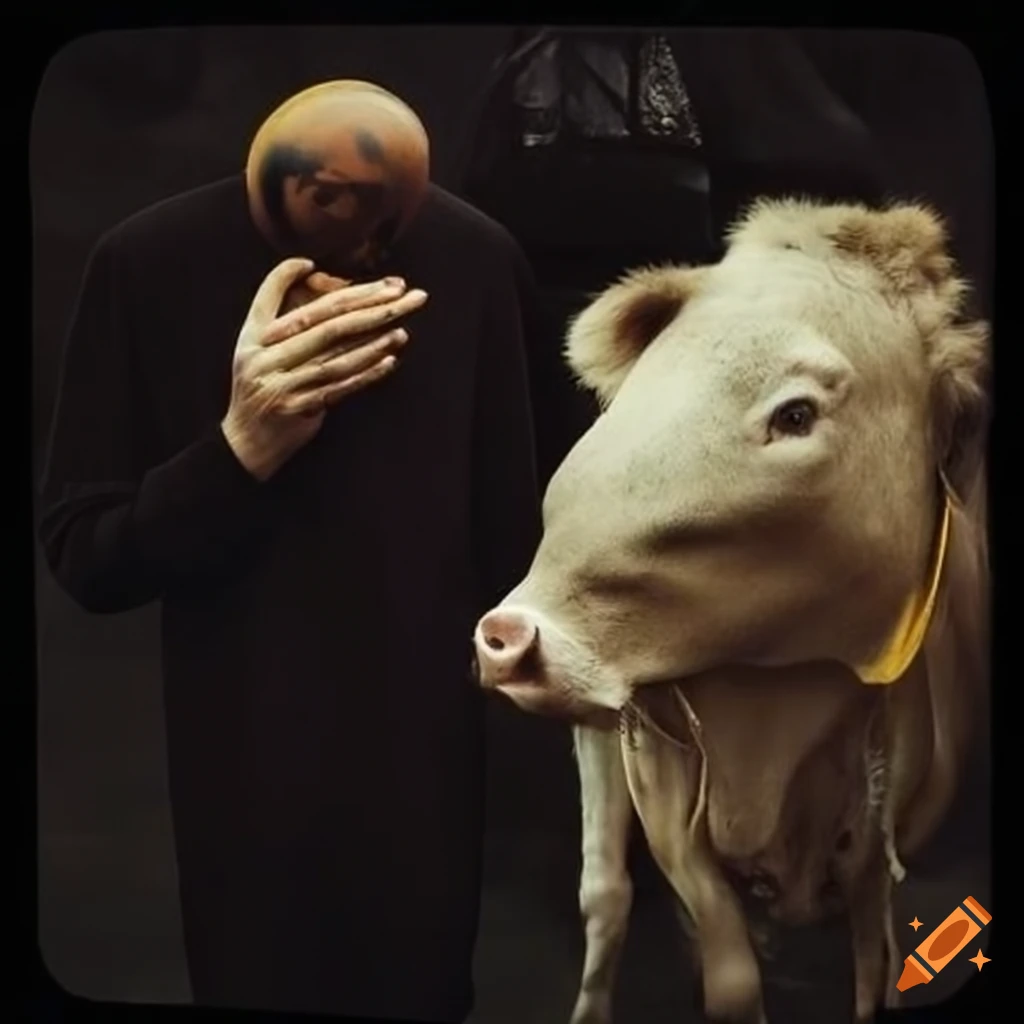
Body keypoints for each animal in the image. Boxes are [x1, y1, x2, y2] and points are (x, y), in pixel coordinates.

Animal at [472, 198, 990, 1024]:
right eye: (635, 398)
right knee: (605, 892)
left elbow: (873, 963)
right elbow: (730, 970)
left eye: (797, 413)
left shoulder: (889, 830)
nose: (508, 639)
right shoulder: (661, 781)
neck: (778, 704)